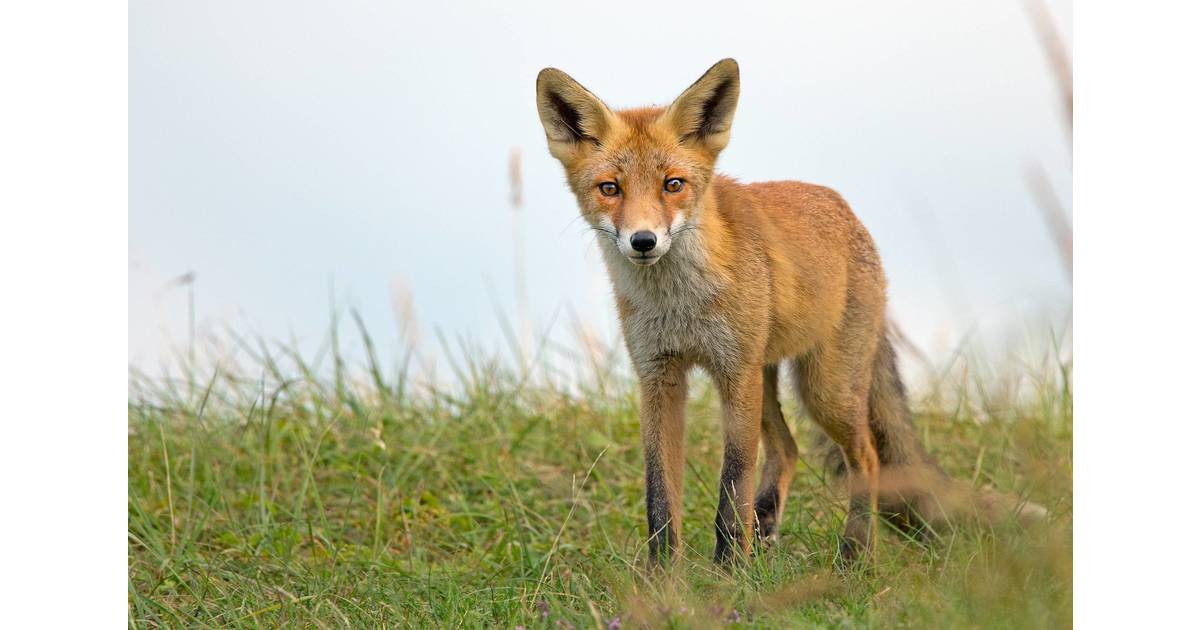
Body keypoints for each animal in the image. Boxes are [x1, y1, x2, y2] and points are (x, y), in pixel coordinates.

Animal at [535, 59, 1044, 567]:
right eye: (610, 189)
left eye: (672, 185)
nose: (643, 241)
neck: (681, 304)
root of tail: (849, 212)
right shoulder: (659, 377)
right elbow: (659, 498)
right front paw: (663, 578)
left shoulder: (734, 373)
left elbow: (733, 484)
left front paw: (729, 572)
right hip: (766, 380)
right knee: (789, 449)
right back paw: (767, 533)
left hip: (823, 390)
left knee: (866, 457)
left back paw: (854, 554)